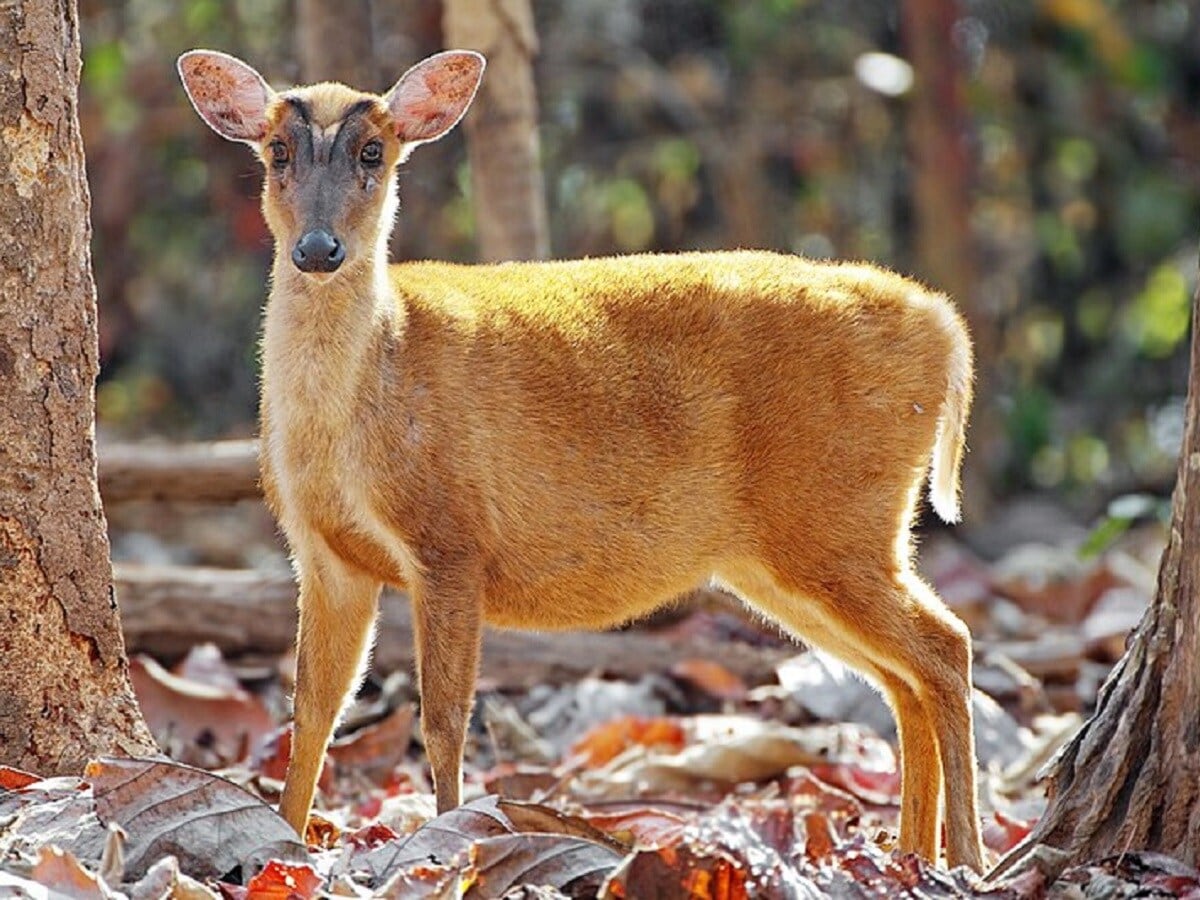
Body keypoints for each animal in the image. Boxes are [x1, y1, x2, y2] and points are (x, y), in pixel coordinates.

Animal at [176, 48, 984, 871]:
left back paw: (969, 858)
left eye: (375, 151)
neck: (374, 376)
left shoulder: (451, 535)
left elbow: (444, 717)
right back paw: (914, 855)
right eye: (277, 151)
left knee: (945, 648)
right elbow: (313, 709)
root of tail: (946, 328)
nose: (317, 249)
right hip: (787, 552)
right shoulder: (326, 553)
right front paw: (285, 840)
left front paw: (448, 840)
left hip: (834, 517)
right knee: (904, 678)